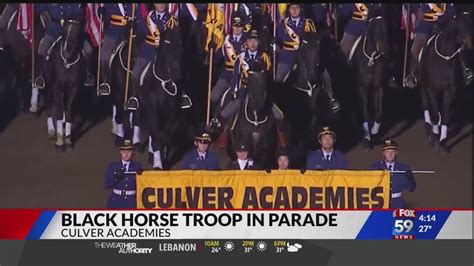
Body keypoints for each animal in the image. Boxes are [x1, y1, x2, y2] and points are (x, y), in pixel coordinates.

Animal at [45, 19, 85, 151]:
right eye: (64, 31)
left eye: (77, 32)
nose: (66, 52)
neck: (67, 63)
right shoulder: (56, 88)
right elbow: (57, 112)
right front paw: (59, 141)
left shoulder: (73, 88)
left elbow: (68, 110)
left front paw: (67, 139)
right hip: (48, 86)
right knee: (48, 105)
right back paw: (52, 131)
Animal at [140, 25, 186, 170]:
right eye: (166, 42)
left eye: (181, 43)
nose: (177, 73)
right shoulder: (152, 110)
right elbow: (156, 136)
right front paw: (157, 164)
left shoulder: (172, 113)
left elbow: (166, 135)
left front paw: (163, 157)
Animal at [352, 15, 388, 151]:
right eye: (372, 27)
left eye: (386, 25)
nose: (385, 49)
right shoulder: (362, 87)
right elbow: (365, 113)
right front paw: (367, 140)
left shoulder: (379, 87)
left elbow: (379, 113)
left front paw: (374, 133)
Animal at [420, 11, 472, 154]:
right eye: (460, 25)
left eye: (471, 23)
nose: (470, 43)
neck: (443, 59)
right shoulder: (431, 89)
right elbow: (435, 114)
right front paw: (435, 138)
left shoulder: (449, 90)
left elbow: (445, 116)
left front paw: (442, 142)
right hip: (424, 88)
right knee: (427, 107)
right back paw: (429, 133)